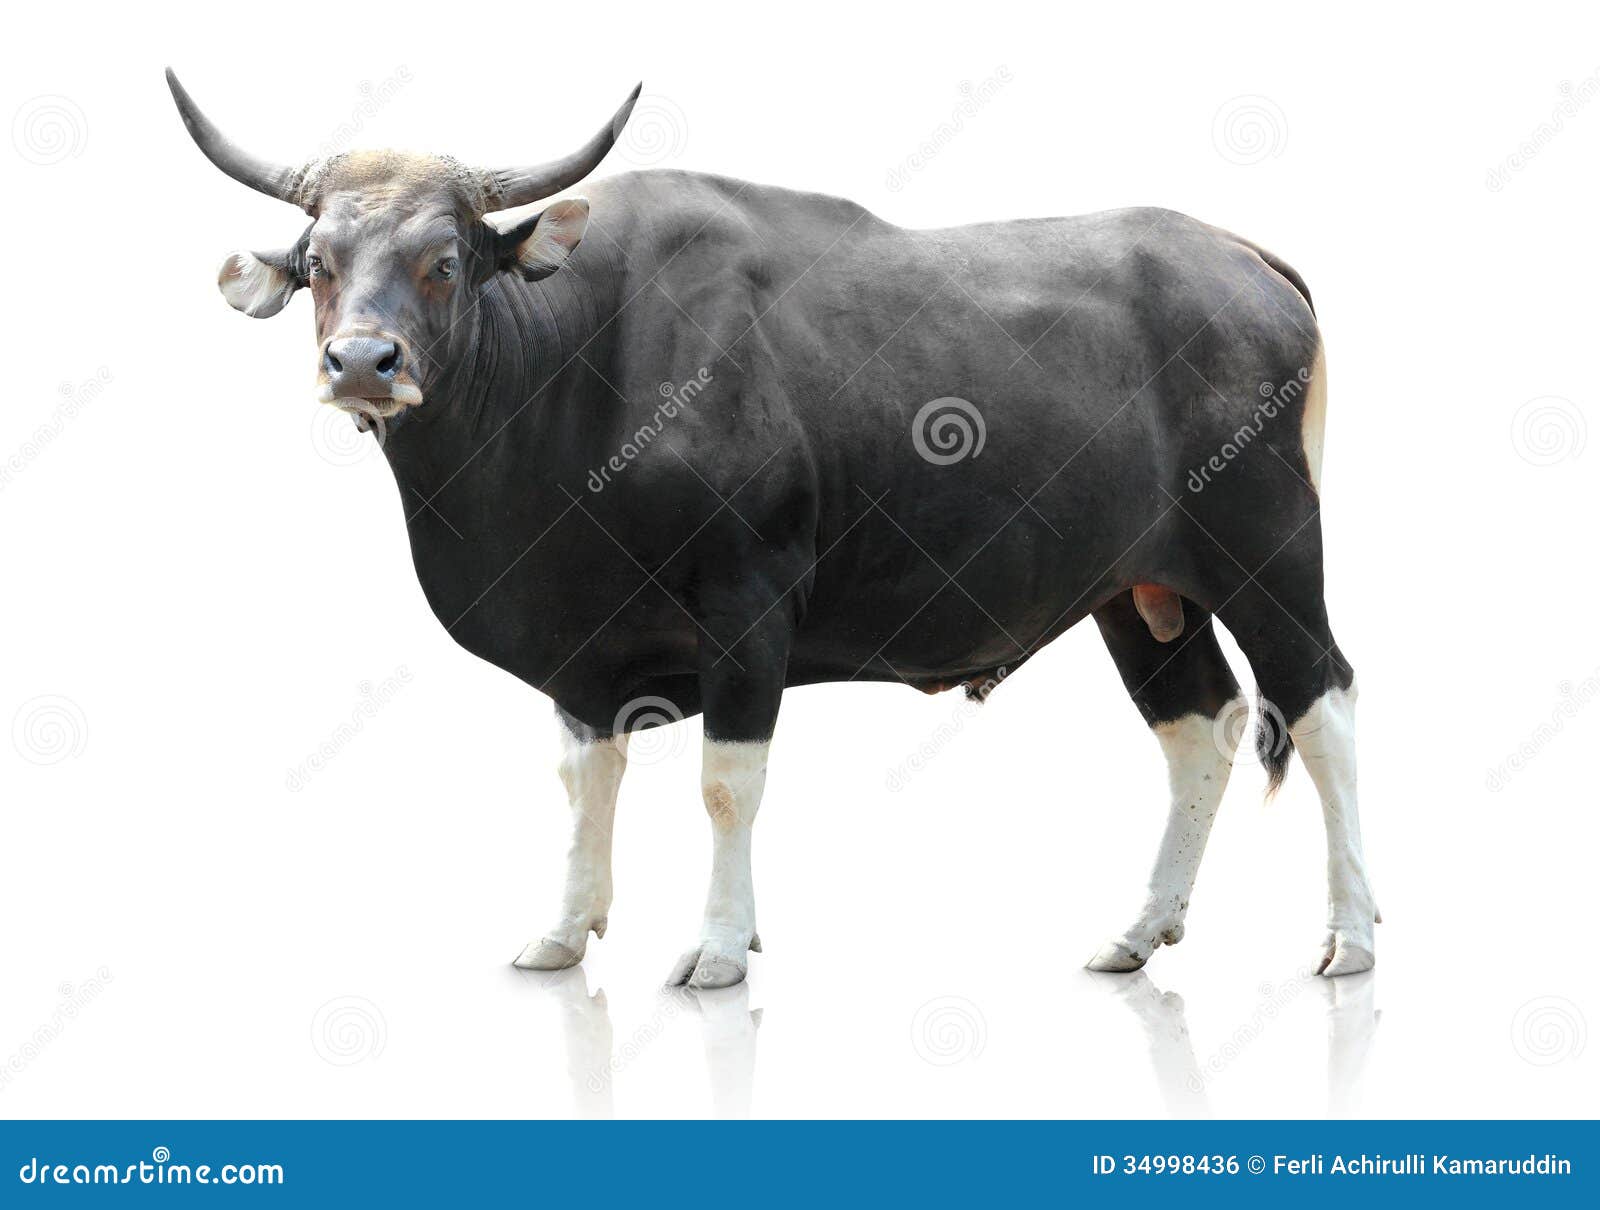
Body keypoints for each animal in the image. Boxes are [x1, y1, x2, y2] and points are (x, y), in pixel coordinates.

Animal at [167, 70, 1377, 988]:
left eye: (448, 258)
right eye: (317, 263)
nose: (363, 363)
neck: (569, 378)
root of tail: (1244, 258)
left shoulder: (748, 607)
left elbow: (723, 781)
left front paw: (716, 946)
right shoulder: (581, 650)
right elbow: (584, 781)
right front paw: (564, 931)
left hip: (1270, 551)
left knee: (1322, 704)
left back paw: (1350, 938)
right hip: (1137, 589)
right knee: (1200, 724)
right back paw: (1137, 931)